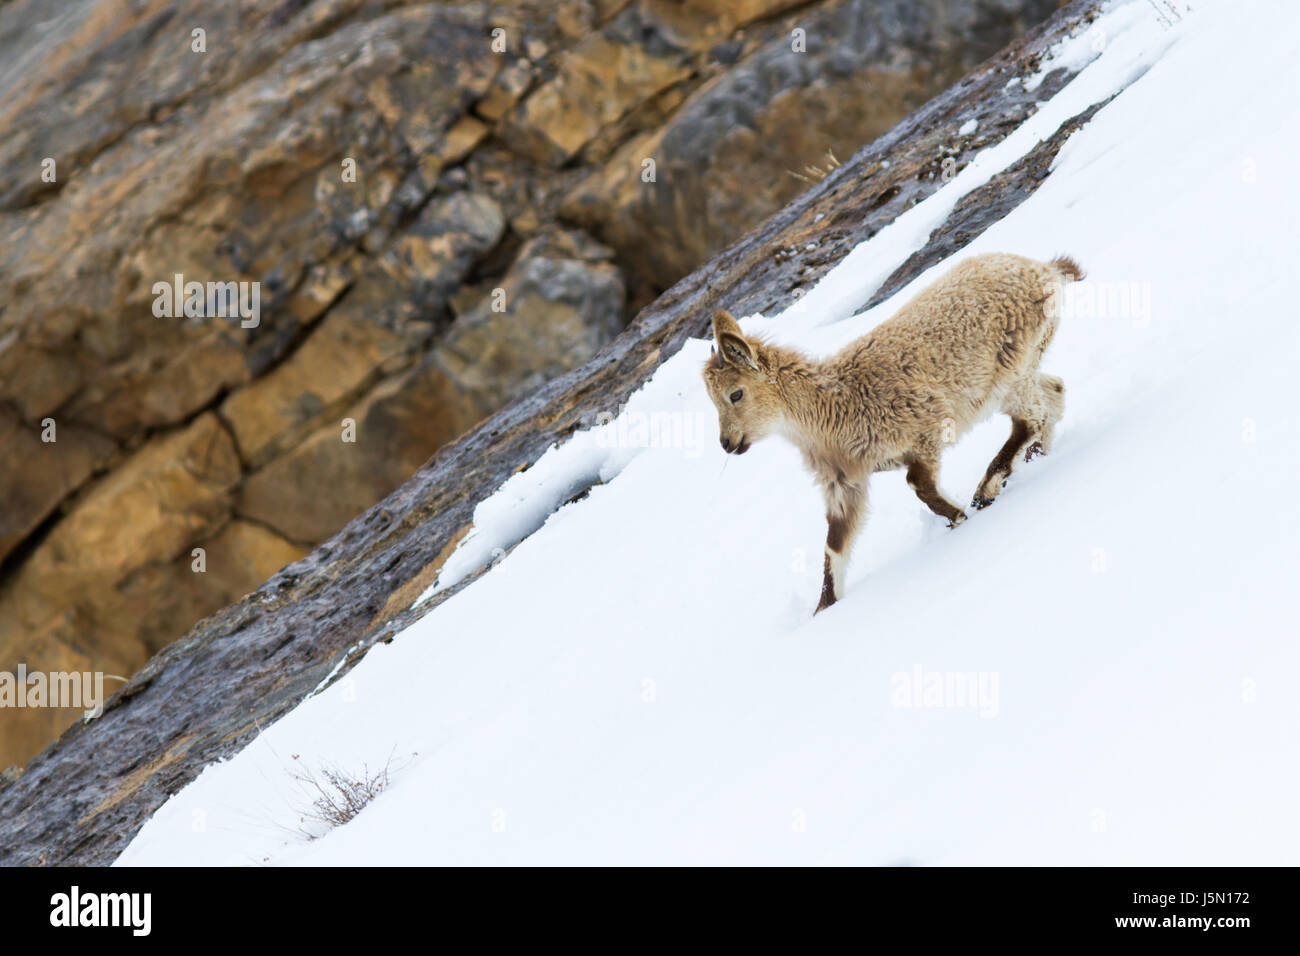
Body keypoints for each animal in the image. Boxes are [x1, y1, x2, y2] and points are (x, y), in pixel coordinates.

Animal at [701, 252, 1084, 612]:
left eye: (735, 394)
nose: (727, 443)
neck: (837, 407)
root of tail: (1045, 269)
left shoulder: (925, 426)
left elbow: (919, 484)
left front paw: (959, 517)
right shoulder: (844, 484)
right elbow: (834, 545)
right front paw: (822, 609)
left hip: (1010, 367)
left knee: (1031, 418)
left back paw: (987, 488)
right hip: (1023, 368)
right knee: (1054, 393)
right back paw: (1031, 460)